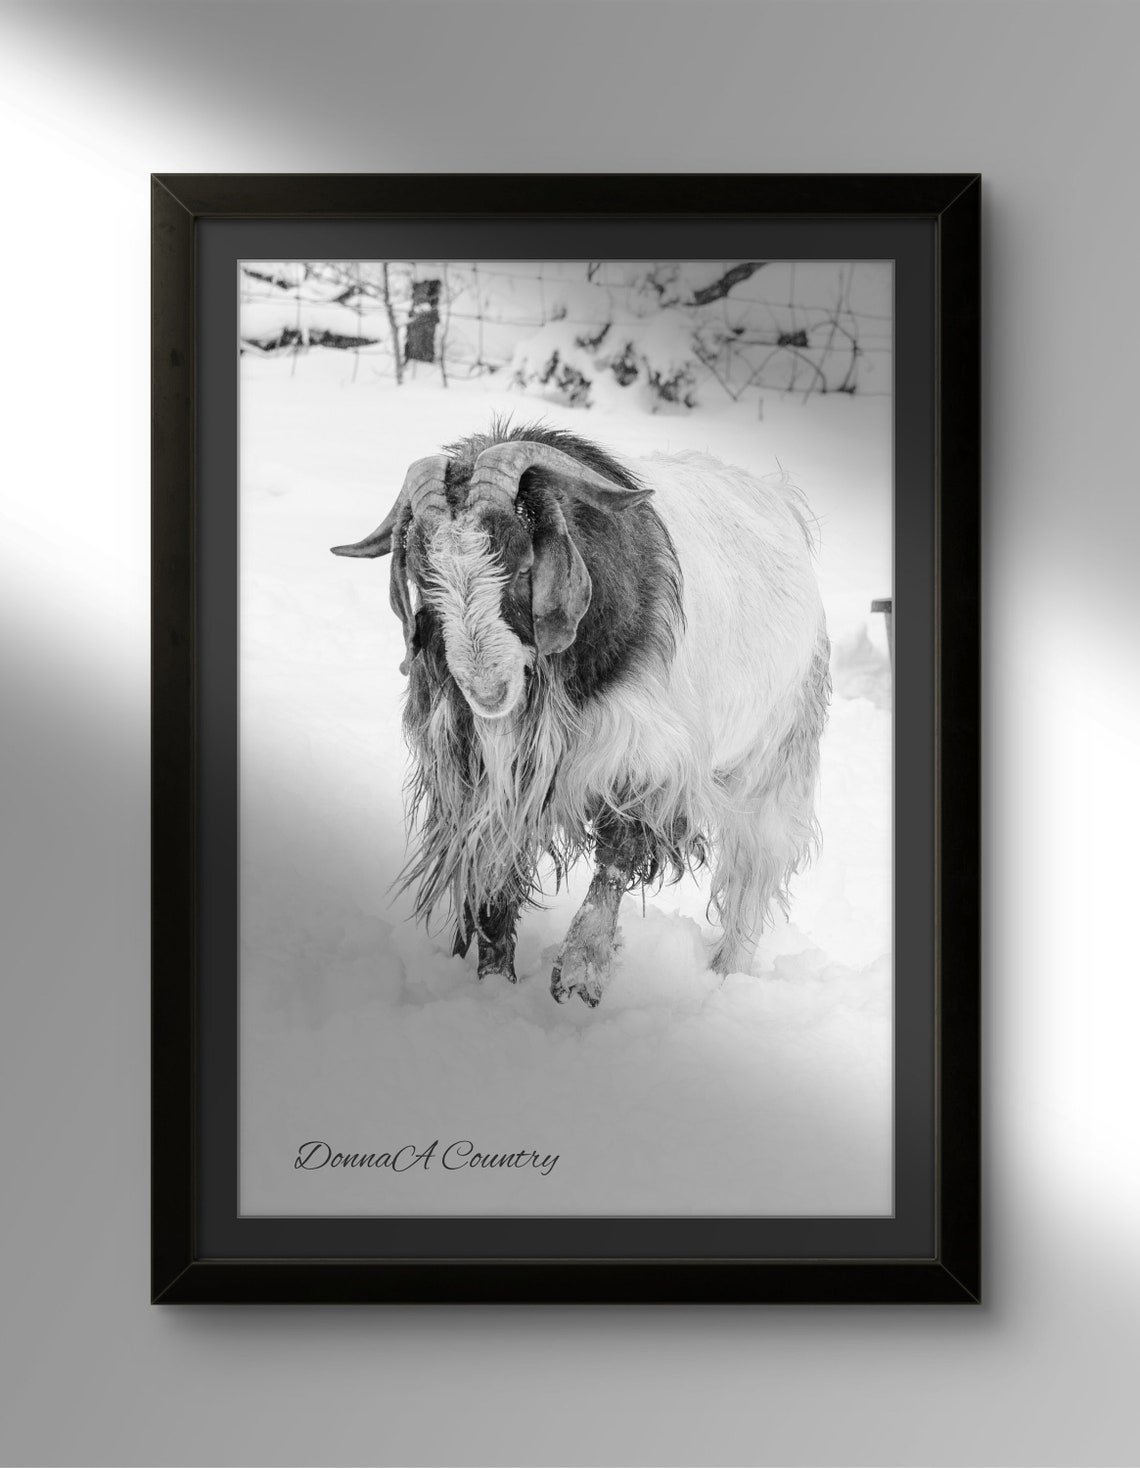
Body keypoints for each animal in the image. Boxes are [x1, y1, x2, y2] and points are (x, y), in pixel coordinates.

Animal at [332, 422, 830, 1007]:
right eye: (422, 576)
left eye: (521, 563)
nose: (489, 692)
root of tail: (783, 501)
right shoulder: (479, 774)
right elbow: (494, 874)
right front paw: (493, 984)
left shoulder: (645, 758)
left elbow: (617, 856)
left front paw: (578, 973)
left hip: (773, 757)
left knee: (755, 868)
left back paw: (727, 974)